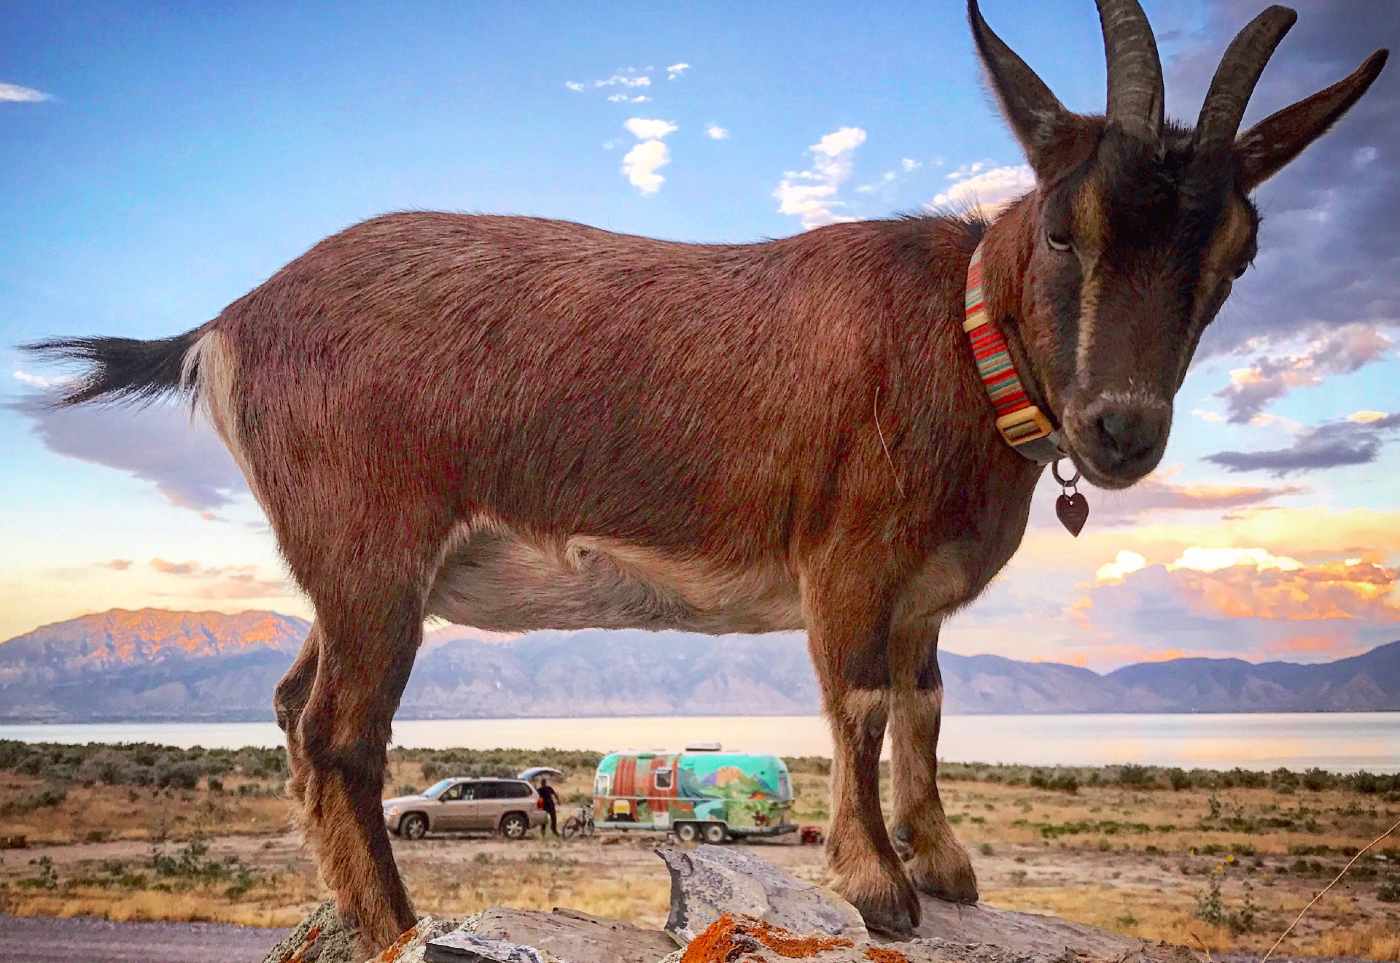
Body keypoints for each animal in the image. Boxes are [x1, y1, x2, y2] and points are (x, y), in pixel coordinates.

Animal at [24, 1, 1386, 955]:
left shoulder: (922, 597)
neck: (958, 341)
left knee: (289, 707)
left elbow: (929, 707)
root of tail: (227, 322)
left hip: (352, 573)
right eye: (1064, 226)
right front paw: (877, 886)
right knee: (338, 735)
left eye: (1237, 252)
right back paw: (399, 930)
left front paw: (944, 867)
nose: (1119, 431)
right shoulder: (846, 560)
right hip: (369, 549)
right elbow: (859, 704)